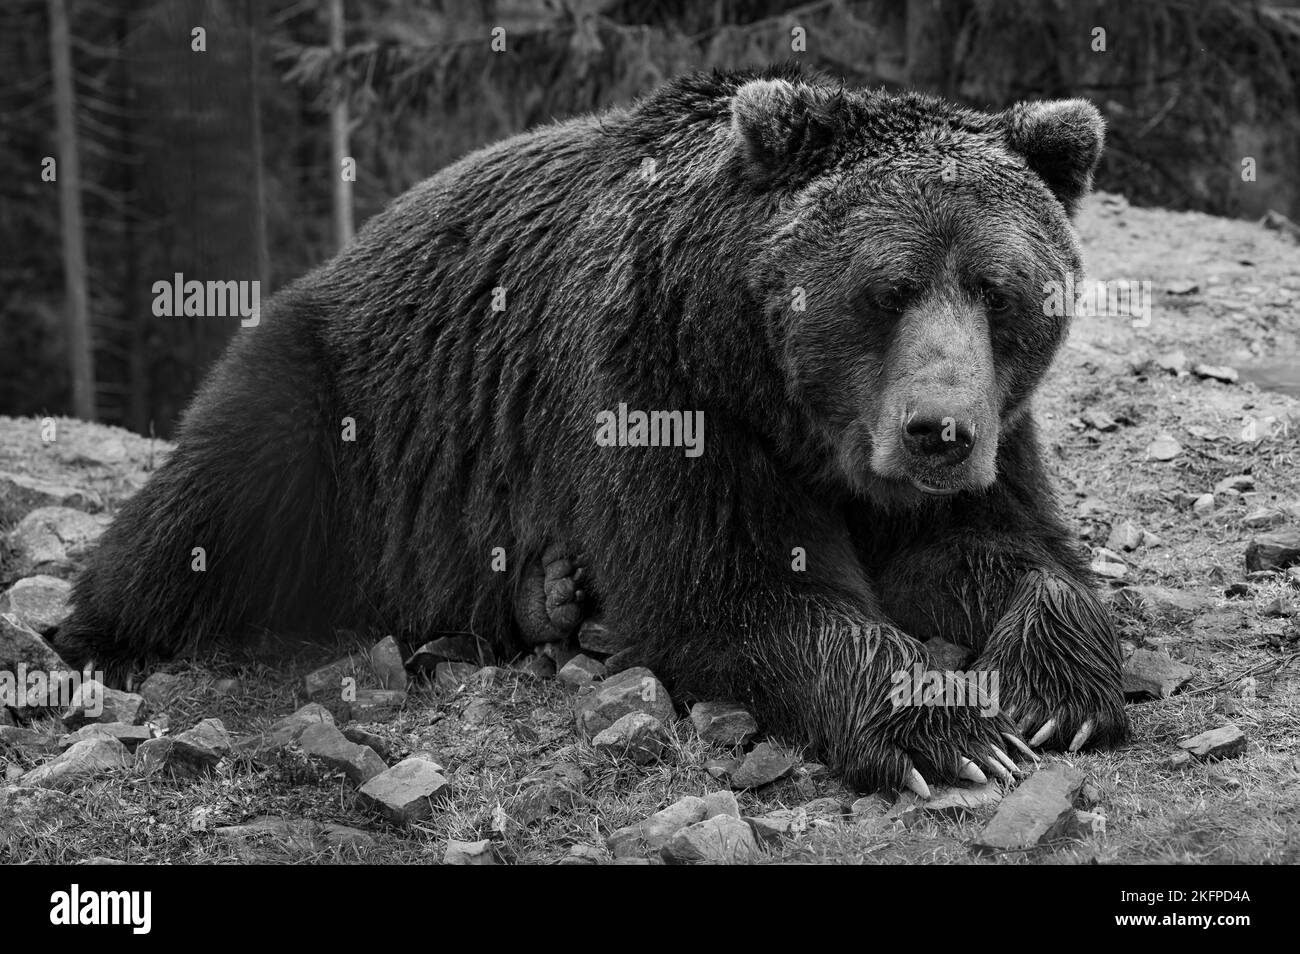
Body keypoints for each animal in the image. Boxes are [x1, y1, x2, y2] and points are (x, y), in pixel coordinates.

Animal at [57, 64, 1128, 795]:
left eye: (996, 288)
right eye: (889, 287)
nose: (938, 432)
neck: (787, 404)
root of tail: (346, 252)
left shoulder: (982, 435)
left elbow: (1005, 550)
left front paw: (1050, 695)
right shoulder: (663, 389)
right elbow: (733, 595)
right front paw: (947, 732)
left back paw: (554, 599)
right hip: (329, 396)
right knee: (204, 510)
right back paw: (99, 639)